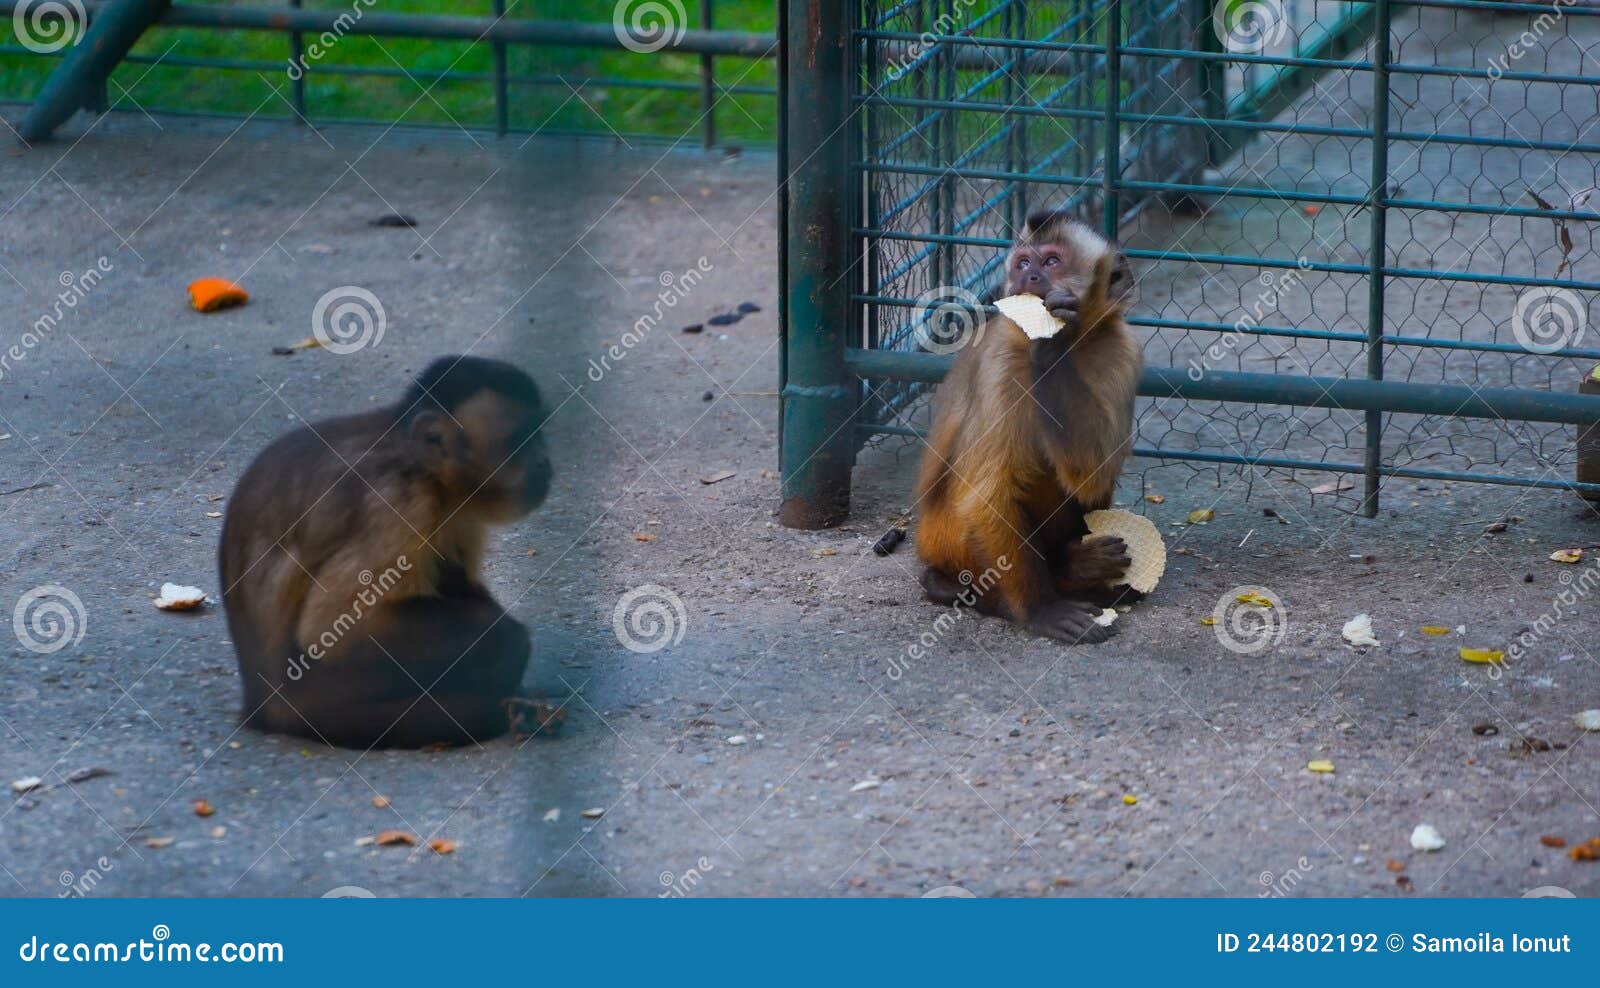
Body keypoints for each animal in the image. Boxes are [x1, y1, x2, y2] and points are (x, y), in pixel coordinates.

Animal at [218, 355, 554, 748]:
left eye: (539, 433)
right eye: (521, 439)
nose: (544, 461)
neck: (420, 467)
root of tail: (260, 705)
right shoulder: (396, 502)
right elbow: (327, 634)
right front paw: (510, 642)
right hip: (322, 697)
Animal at [914, 210, 1143, 644]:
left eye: (1051, 262)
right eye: (1022, 264)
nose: (1029, 277)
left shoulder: (1122, 349)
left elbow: (1093, 473)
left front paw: (1051, 346)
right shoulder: (1003, 359)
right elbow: (985, 497)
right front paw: (1041, 610)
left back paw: (1074, 570)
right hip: (945, 540)